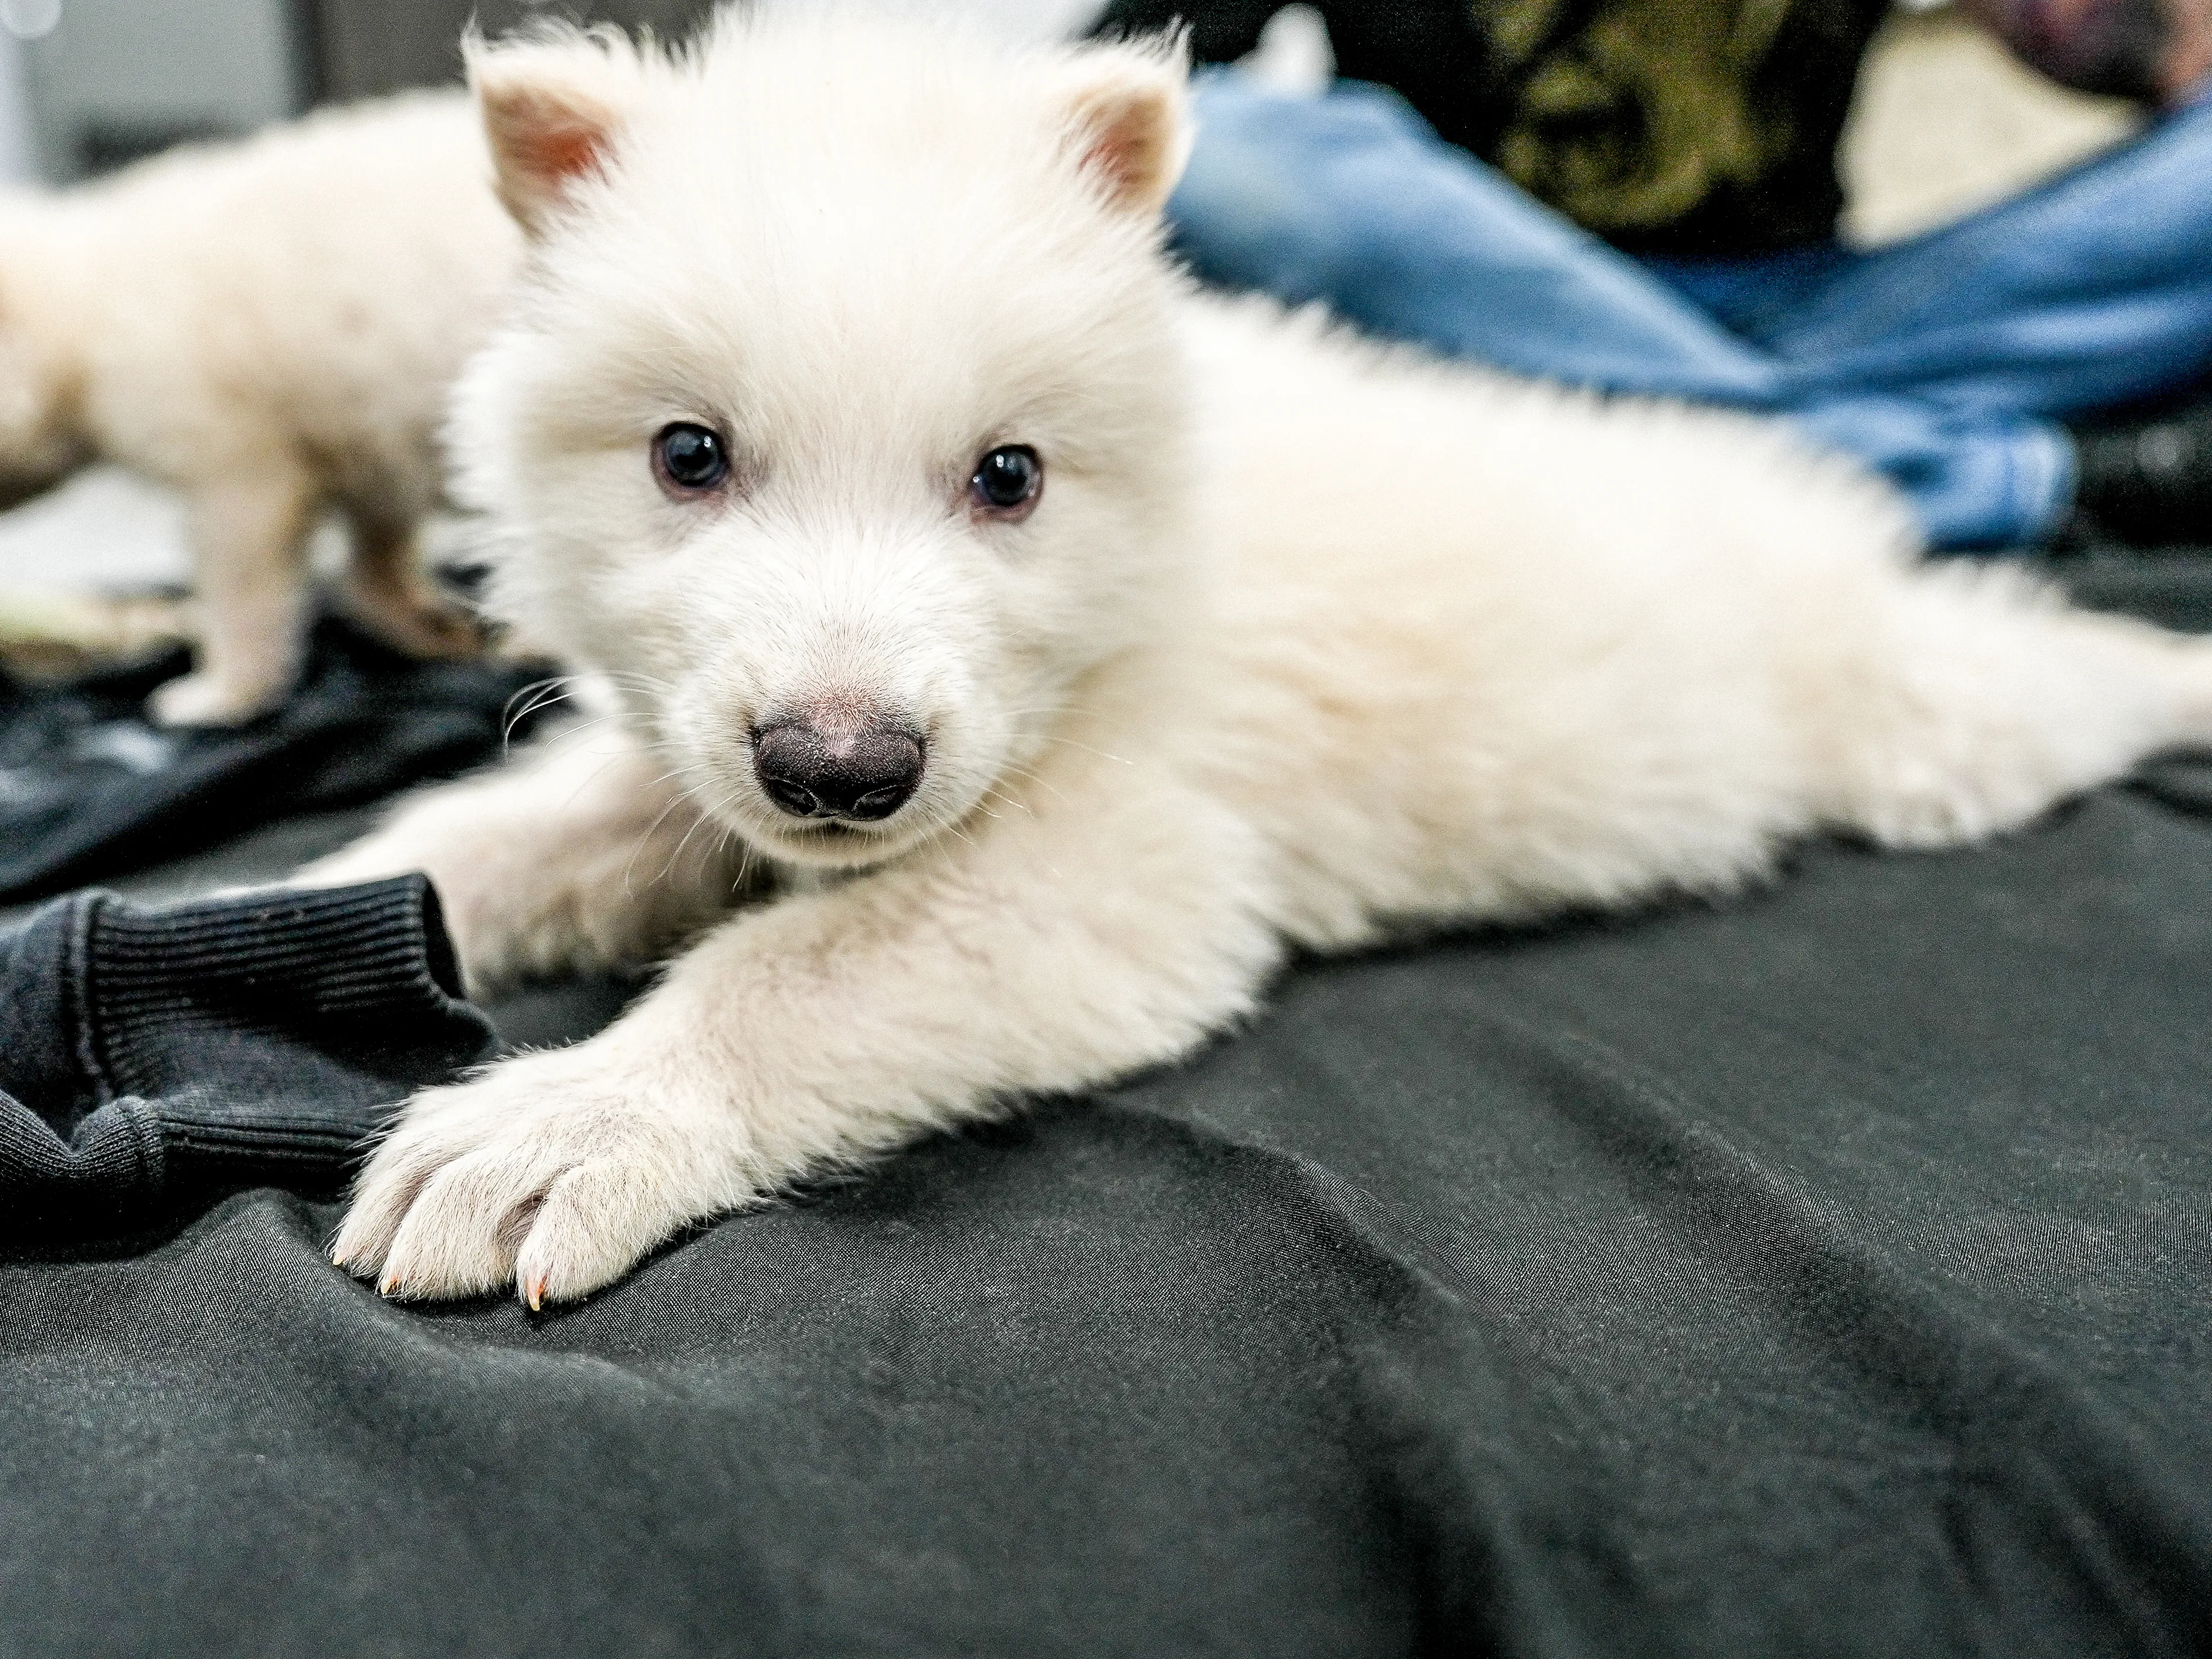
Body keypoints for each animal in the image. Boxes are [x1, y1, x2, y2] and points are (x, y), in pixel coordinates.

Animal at [308, 9, 2212, 1306]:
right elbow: (497, 837)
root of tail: (1827, 524)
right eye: (687, 455)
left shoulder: (1129, 857)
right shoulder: (691, 763)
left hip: (1917, 718)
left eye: (1010, 476)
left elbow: (803, 971)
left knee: (2050, 671)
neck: (1122, 610)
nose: (841, 771)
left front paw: (564, 1124)